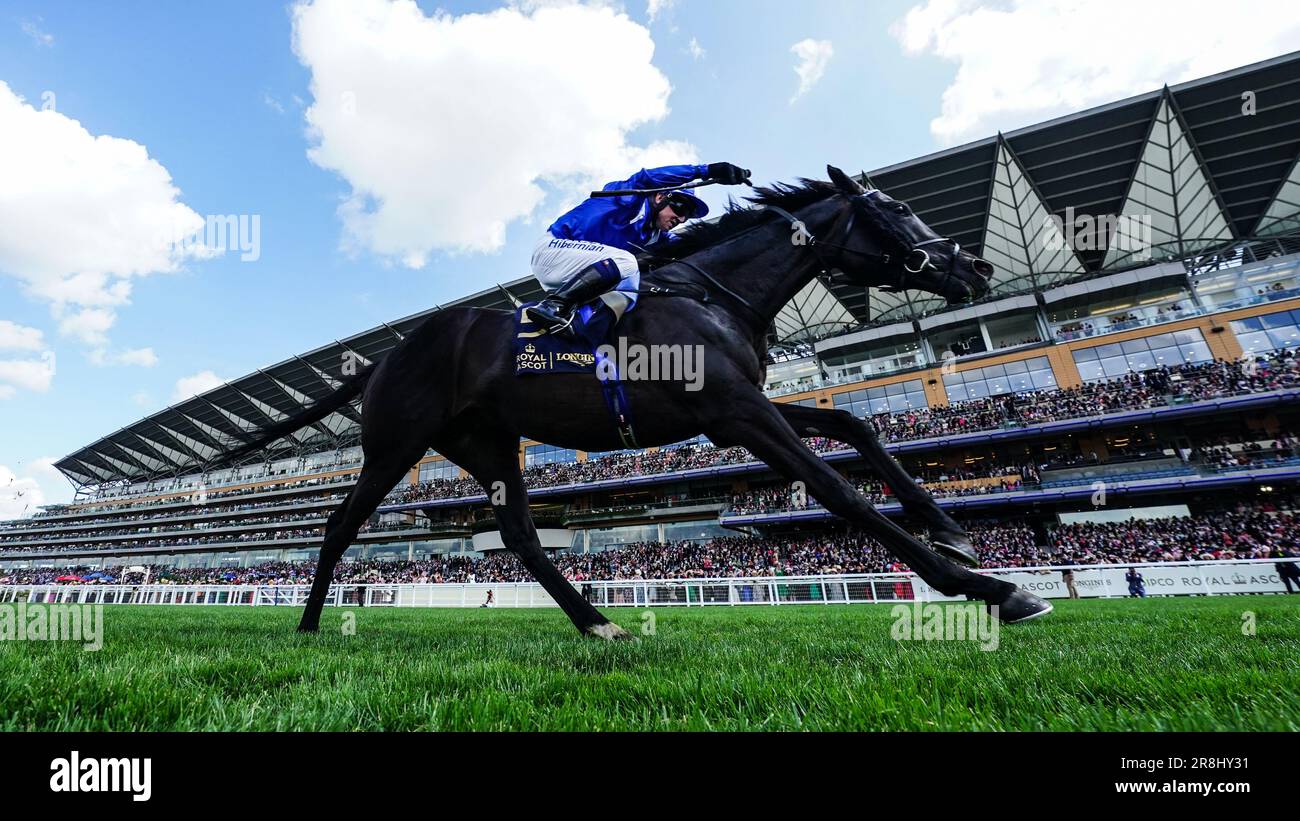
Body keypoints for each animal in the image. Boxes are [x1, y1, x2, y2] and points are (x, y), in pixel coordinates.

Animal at [233, 166, 1050, 639]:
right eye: (899, 208)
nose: (974, 267)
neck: (710, 292)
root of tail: (384, 356)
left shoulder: (733, 411)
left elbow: (853, 422)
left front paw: (952, 528)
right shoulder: (737, 412)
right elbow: (836, 490)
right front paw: (989, 588)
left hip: (489, 443)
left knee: (521, 535)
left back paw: (600, 624)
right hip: (396, 443)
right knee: (339, 524)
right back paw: (307, 626)